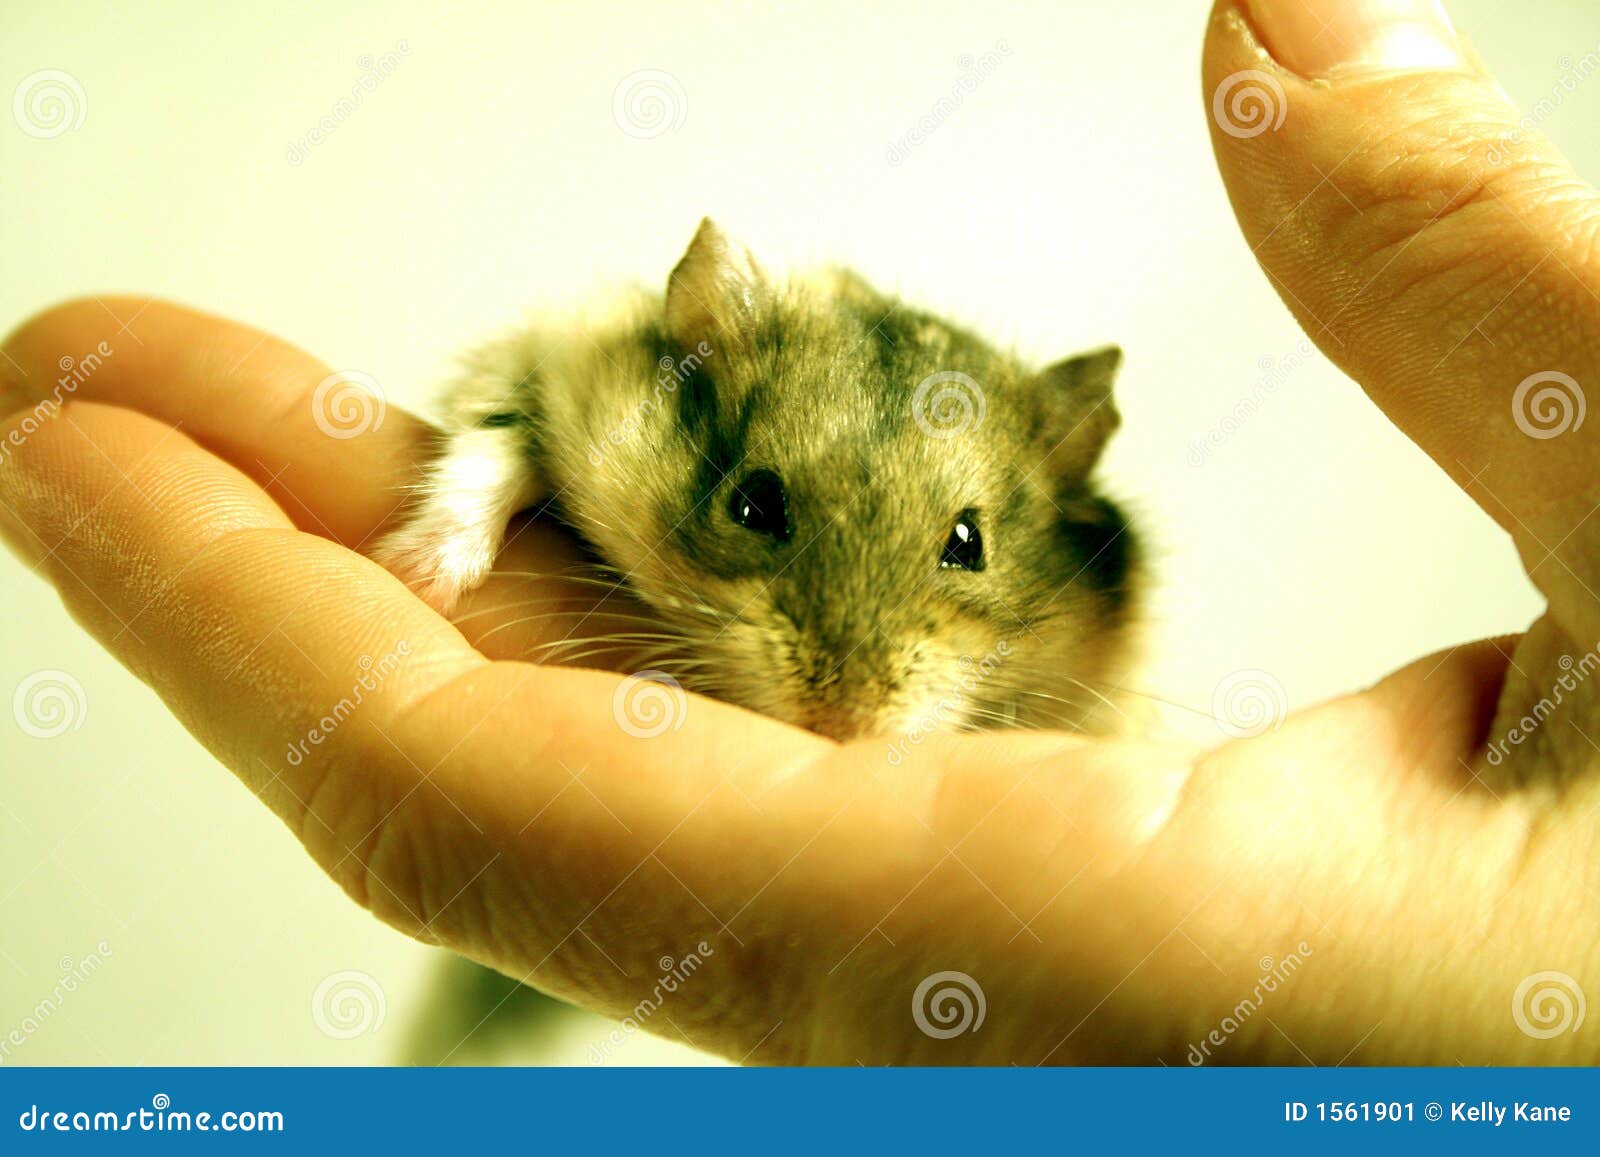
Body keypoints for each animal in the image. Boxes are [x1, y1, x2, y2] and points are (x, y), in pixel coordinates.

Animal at [372, 219, 1141, 741]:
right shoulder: (539, 369)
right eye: (754, 506)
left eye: (969, 543)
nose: (840, 723)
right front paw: (412, 576)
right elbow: (490, 452)